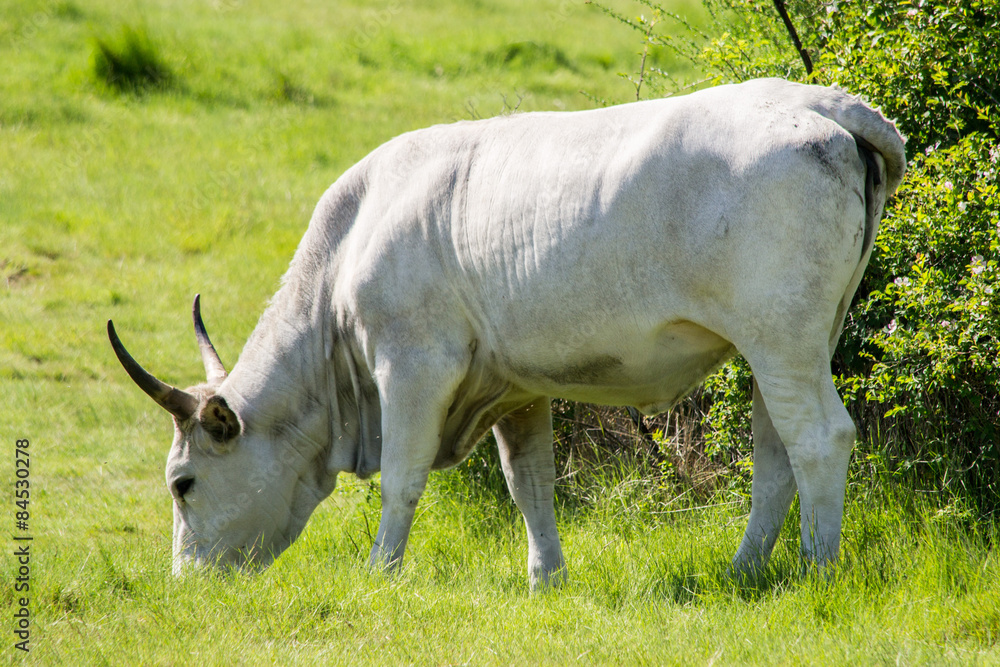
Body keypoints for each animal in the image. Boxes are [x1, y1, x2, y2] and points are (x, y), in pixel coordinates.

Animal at [109, 78, 906, 589]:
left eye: (182, 483)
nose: (186, 584)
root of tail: (820, 102)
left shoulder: (413, 364)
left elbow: (402, 478)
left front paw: (380, 575)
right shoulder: (515, 386)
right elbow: (532, 484)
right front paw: (545, 580)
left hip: (781, 338)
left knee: (818, 439)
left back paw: (818, 571)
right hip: (788, 344)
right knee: (775, 455)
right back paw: (744, 569)